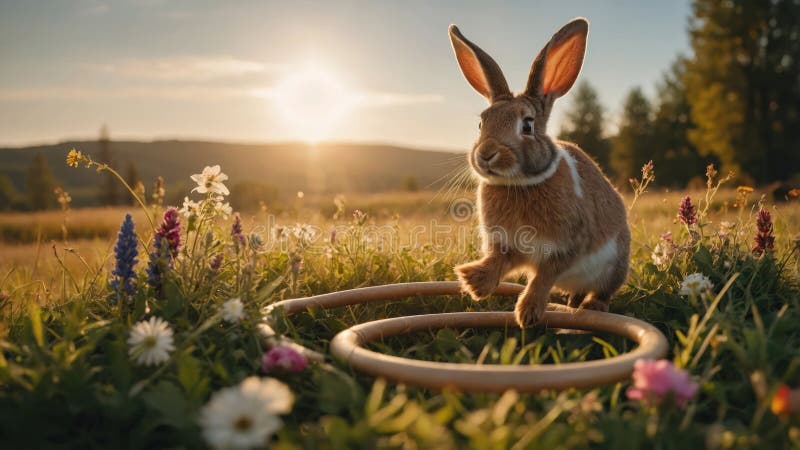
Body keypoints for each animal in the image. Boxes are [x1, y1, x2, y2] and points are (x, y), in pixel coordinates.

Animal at [449, 18, 631, 328]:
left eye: (527, 125)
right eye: (481, 124)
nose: (485, 154)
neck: (519, 183)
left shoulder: (567, 246)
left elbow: (543, 277)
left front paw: (527, 313)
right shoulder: (507, 245)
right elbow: (499, 262)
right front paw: (475, 282)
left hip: (616, 262)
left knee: (603, 290)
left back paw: (592, 306)